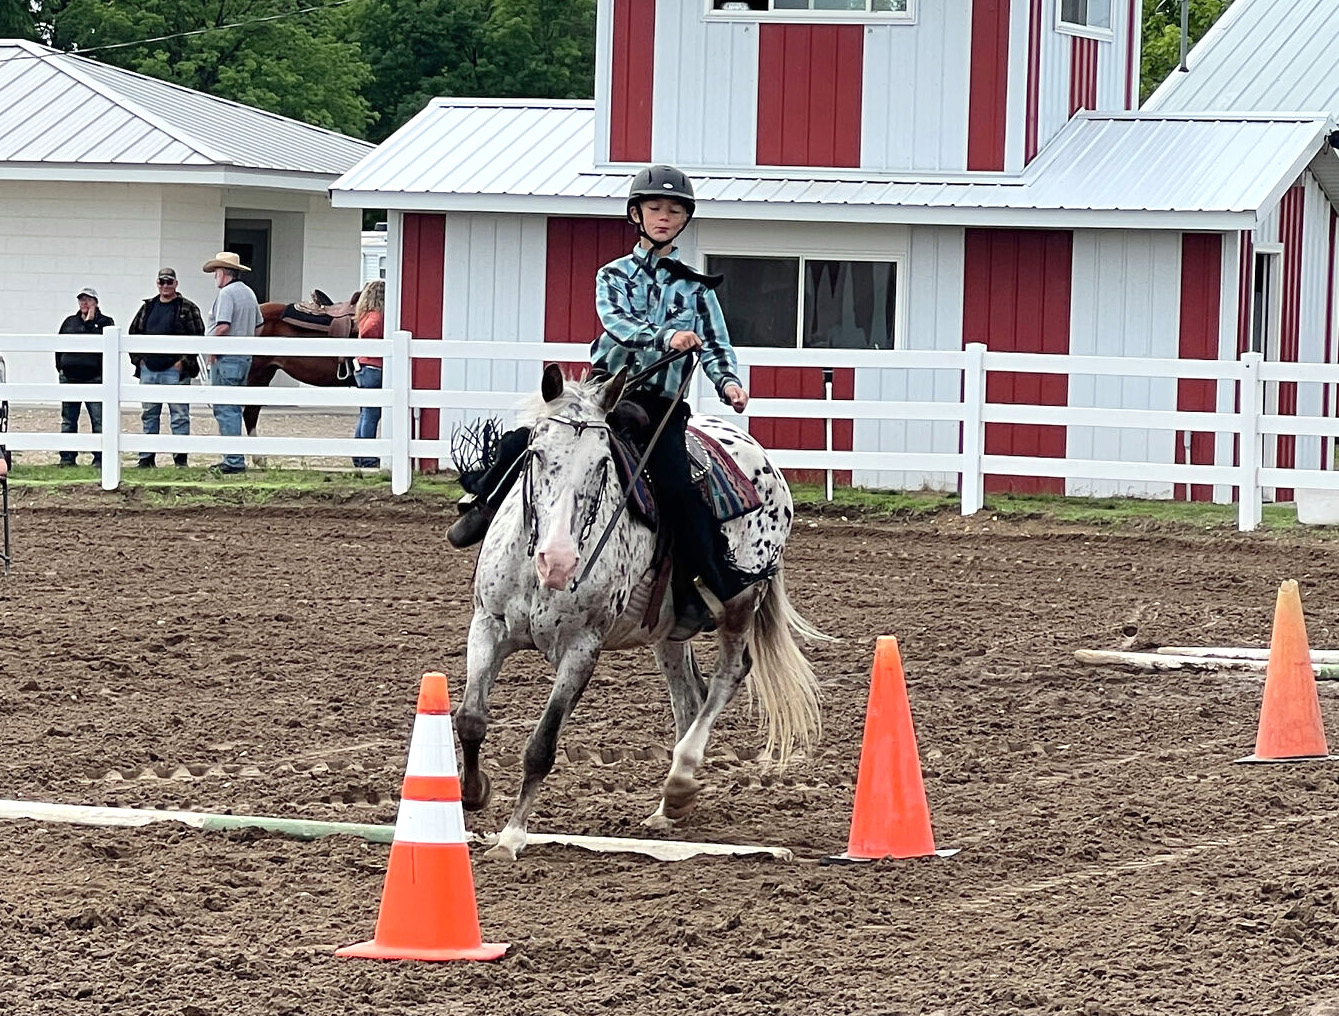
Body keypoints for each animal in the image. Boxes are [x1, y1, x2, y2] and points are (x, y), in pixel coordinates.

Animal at [457, 363, 828, 861]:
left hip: (739, 602)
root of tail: (763, 460)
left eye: (602, 463)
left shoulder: (582, 649)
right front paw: (474, 792)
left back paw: (680, 781)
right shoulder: (488, 625)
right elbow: (470, 719)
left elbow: (542, 745)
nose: (559, 562)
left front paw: (512, 837)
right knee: (690, 695)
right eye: (535, 454)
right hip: (668, 633)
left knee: (729, 674)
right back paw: (666, 810)